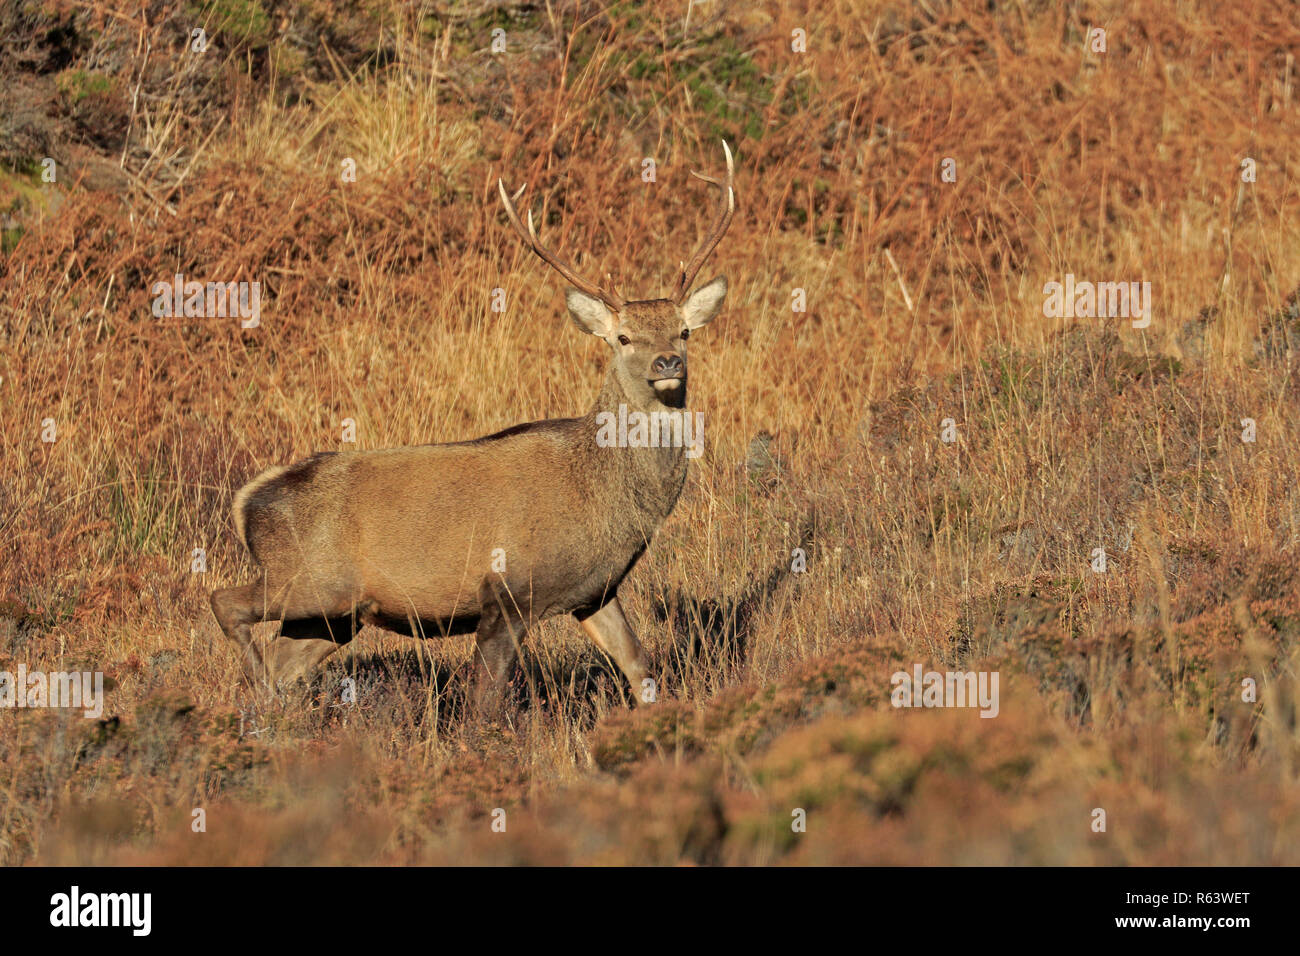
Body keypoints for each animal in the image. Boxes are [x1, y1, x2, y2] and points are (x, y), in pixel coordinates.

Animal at [209, 141, 736, 712]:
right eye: (622, 337)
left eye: (683, 331)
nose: (667, 362)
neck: (600, 489)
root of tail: (246, 502)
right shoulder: (506, 593)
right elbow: (484, 701)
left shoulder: (595, 591)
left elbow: (640, 666)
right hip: (310, 577)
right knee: (224, 602)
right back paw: (257, 684)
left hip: (334, 615)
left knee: (281, 664)